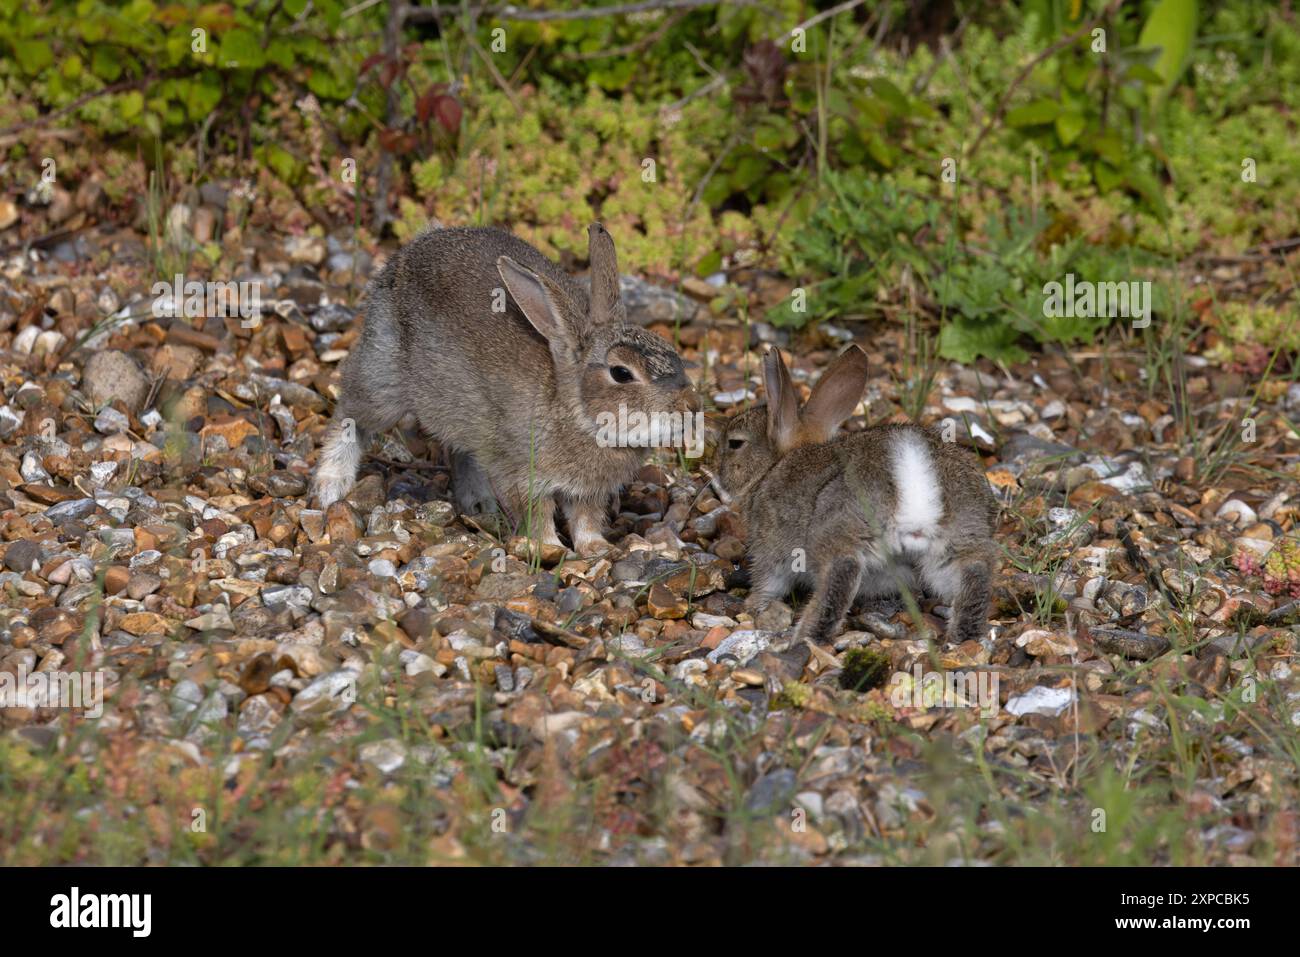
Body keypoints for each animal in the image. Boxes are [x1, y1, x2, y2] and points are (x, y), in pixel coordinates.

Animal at [310, 223, 699, 556]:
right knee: (351, 414)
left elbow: (585, 519)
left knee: (460, 452)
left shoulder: (588, 491)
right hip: (386, 378)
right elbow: (536, 515)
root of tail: (405, 254)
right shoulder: (521, 475)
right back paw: (330, 487)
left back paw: (480, 504)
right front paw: (549, 549)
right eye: (621, 373)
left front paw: (596, 549)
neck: (572, 408)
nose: (691, 408)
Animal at [713, 344, 998, 646]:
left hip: (840, 531)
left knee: (841, 572)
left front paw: (752, 604)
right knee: (974, 570)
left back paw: (804, 637)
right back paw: (963, 637)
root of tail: (913, 481)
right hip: (958, 536)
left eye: (735, 443)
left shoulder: (769, 548)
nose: (716, 469)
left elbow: (768, 582)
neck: (773, 466)